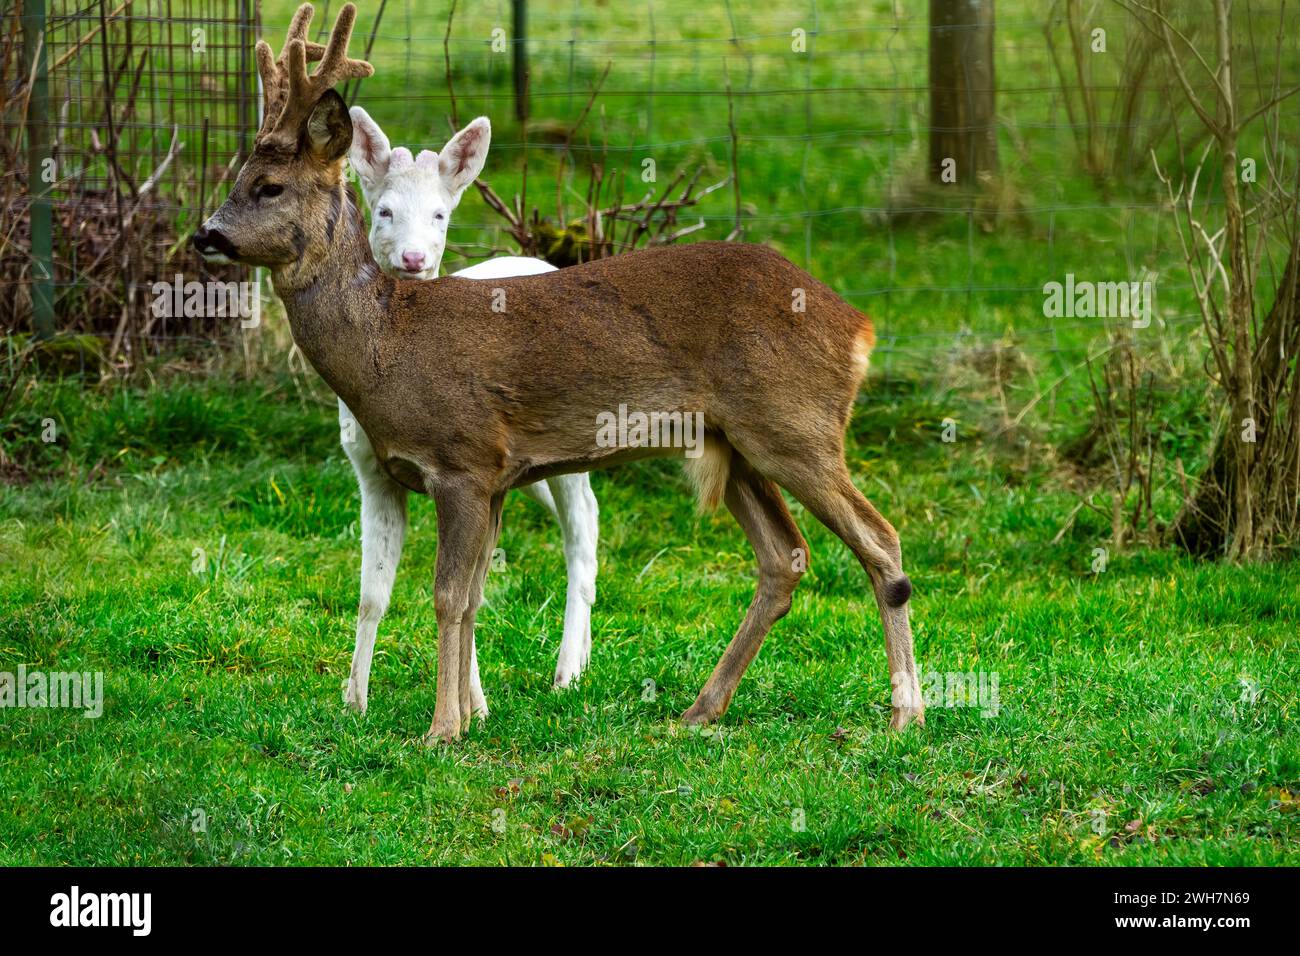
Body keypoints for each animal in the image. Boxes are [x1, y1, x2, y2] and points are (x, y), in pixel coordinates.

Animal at [336, 104, 598, 718]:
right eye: (383, 209)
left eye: (440, 213)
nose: (413, 257)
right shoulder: (366, 469)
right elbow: (372, 592)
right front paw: (353, 699)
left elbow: (456, 592)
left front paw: (473, 706)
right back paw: (584, 655)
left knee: (584, 526)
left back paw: (567, 672)